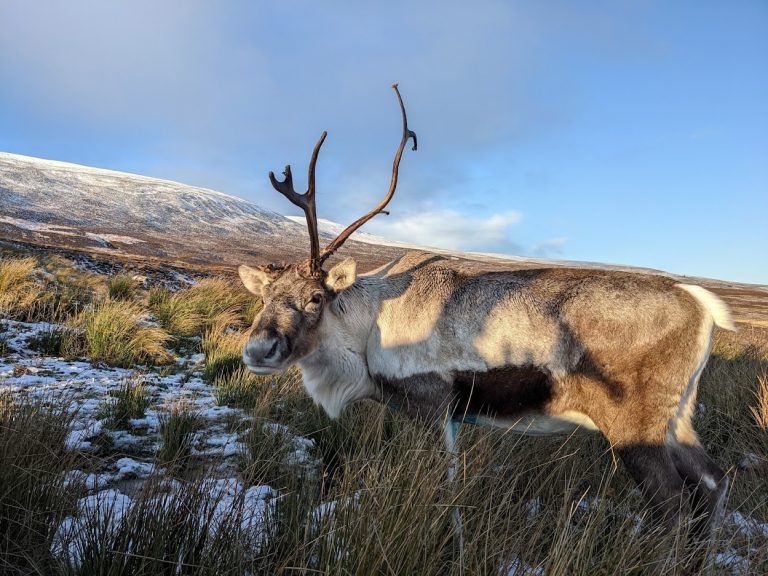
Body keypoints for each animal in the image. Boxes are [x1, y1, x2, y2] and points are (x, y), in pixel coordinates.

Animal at [238, 85, 733, 563]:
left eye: (316, 297)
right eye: (264, 297)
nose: (258, 350)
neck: (365, 328)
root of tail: (702, 305)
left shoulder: (431, 406)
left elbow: (446, 490)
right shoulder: (452, 416)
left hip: (635, 428)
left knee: (674, 506)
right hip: (678, 417)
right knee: (711, 483)